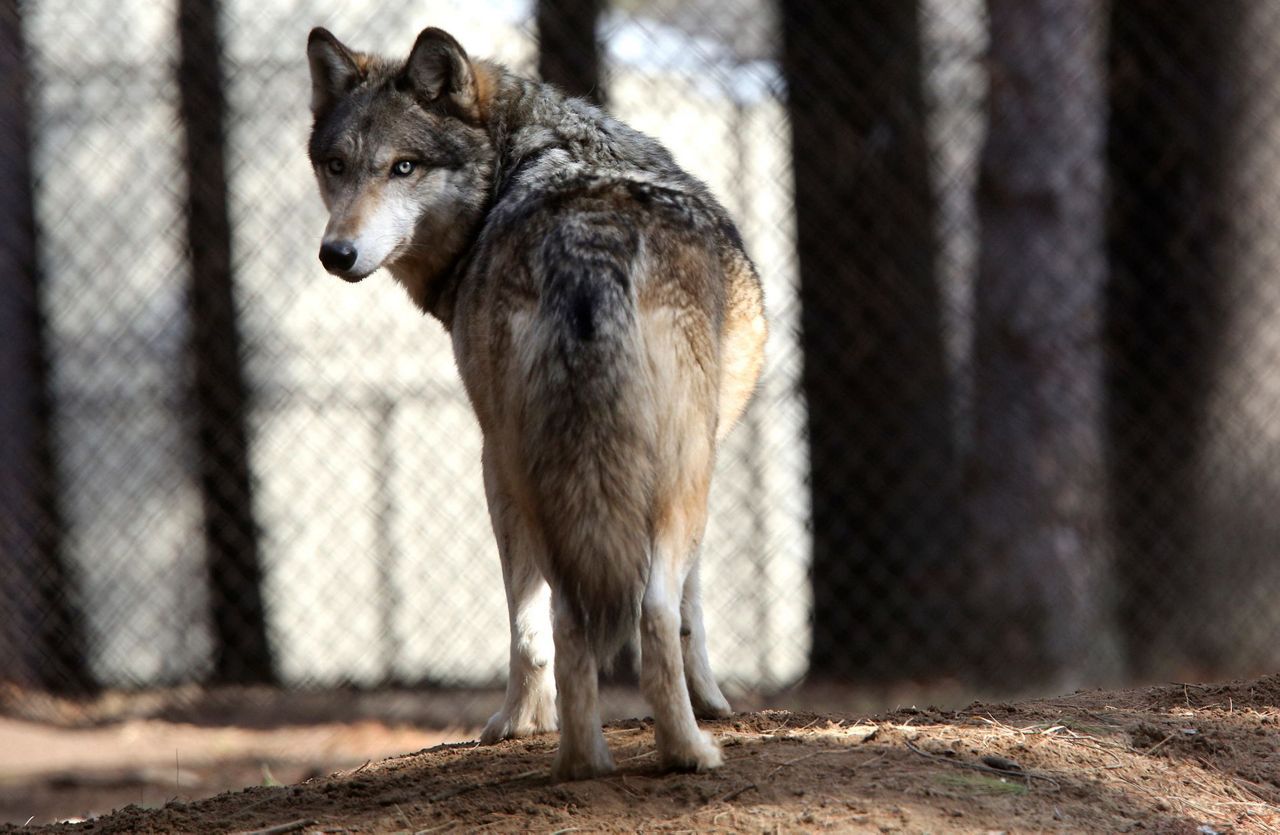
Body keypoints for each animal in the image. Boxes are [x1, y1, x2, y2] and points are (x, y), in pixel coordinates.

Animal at [306, 25, 767, 780]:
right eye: (338, 166)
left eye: (403, 167)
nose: (335, 253)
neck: (521, 159)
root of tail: (587, 245)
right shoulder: (707, 461)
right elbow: (692, 610)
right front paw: (714, 702)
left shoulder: (500, 454)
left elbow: (534, 620)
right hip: (664, 474)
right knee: (648, 608)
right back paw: (685, 751)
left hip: (536, 469)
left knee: (563, 616)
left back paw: (580, 758)